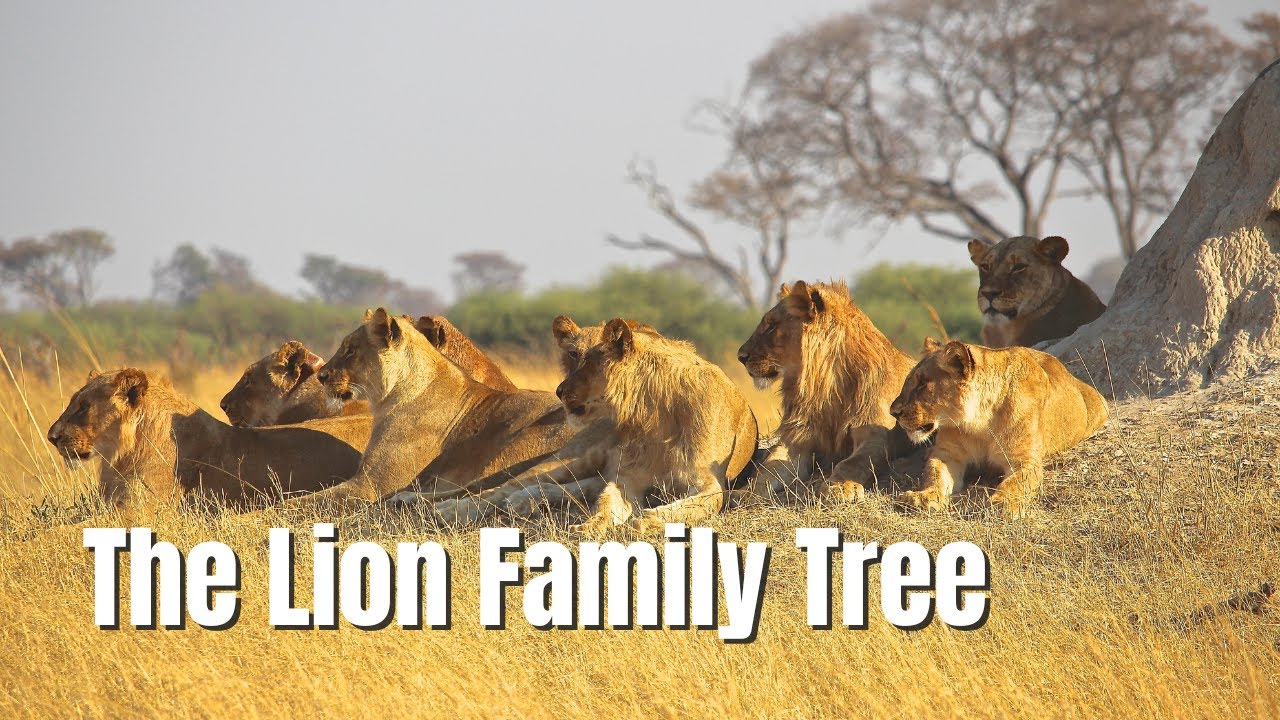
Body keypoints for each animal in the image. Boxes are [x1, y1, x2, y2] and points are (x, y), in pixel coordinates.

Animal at [555, 318, 757, 534]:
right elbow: (605, 502)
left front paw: (643, 521)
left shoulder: (710, 483)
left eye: (590, 363)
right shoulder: (628, 476)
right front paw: (588, 526)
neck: (656, 415)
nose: (559, 391)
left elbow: (683, 509)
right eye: (574, 356)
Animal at [737, 280, 918, 500]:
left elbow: (852, 462)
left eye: (772, 325)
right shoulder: (796, 440)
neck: (825, 387)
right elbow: (768, 469)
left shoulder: (877, 435)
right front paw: (744, 493)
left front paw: (840, 486)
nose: (740, 356)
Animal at [892, 338, 1108, 516]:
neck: (979, 422)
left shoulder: (1024, 460)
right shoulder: (948, 454)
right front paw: (923, 496)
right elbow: (935, 474)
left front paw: (1002, 502)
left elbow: (1015, 483)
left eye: (922, 384)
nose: (893, 412)